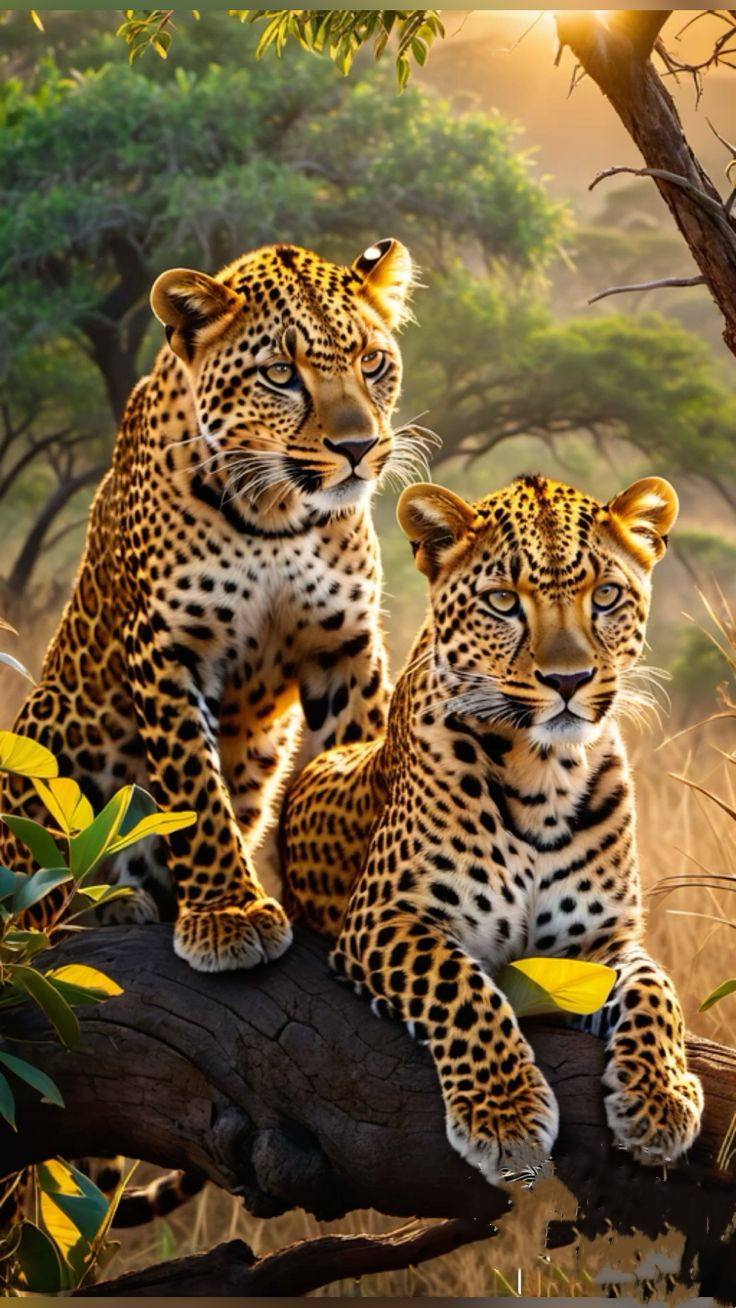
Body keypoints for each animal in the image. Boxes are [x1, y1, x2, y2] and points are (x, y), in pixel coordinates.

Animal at [0, 237, 416, 975]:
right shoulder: (169, 648)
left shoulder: (344, 643)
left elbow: (360, 753)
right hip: (48, 738)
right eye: (280, 373)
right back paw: (109, 902)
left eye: (372, 361)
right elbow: (196, 789)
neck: (276, 515)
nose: (359, 448)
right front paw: (229, 911)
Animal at [282, 472, 704, 1184]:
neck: (546, 772)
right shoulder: (386, 917)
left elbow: (657, 989)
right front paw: (505, 1117)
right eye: (504, 602)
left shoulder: (600, 945)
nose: (569, 680)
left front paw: (661, 1098)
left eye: (606, 595)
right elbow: (460, 988)